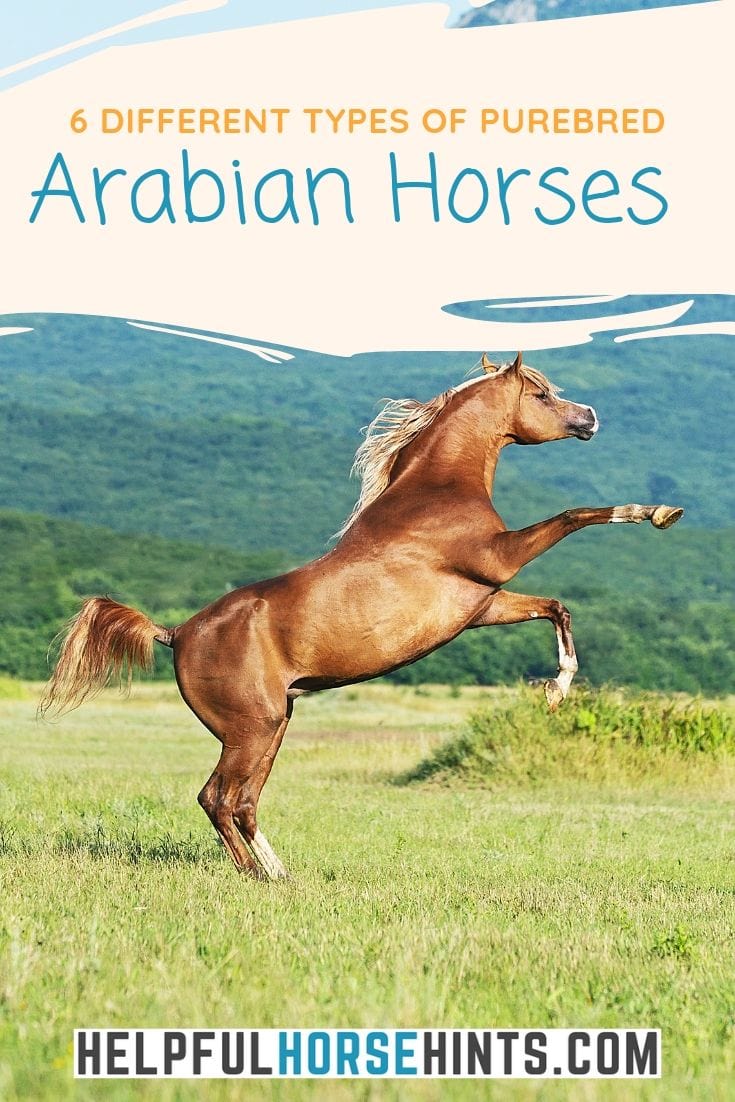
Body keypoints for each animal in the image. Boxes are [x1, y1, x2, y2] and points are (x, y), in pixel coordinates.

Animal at [40, 352, 683, 879]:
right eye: (543, 394)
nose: (591, 418)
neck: (435, 494)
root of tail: (175, 633)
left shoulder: (483, 604)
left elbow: (555, 608)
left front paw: (556, 689)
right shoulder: (500, 559)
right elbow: (577, 514)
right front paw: (658, 513)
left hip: (272, 726)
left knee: (240, 802)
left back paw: (278, 874)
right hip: (251, 729)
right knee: (219, 798)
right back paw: (261, 878)